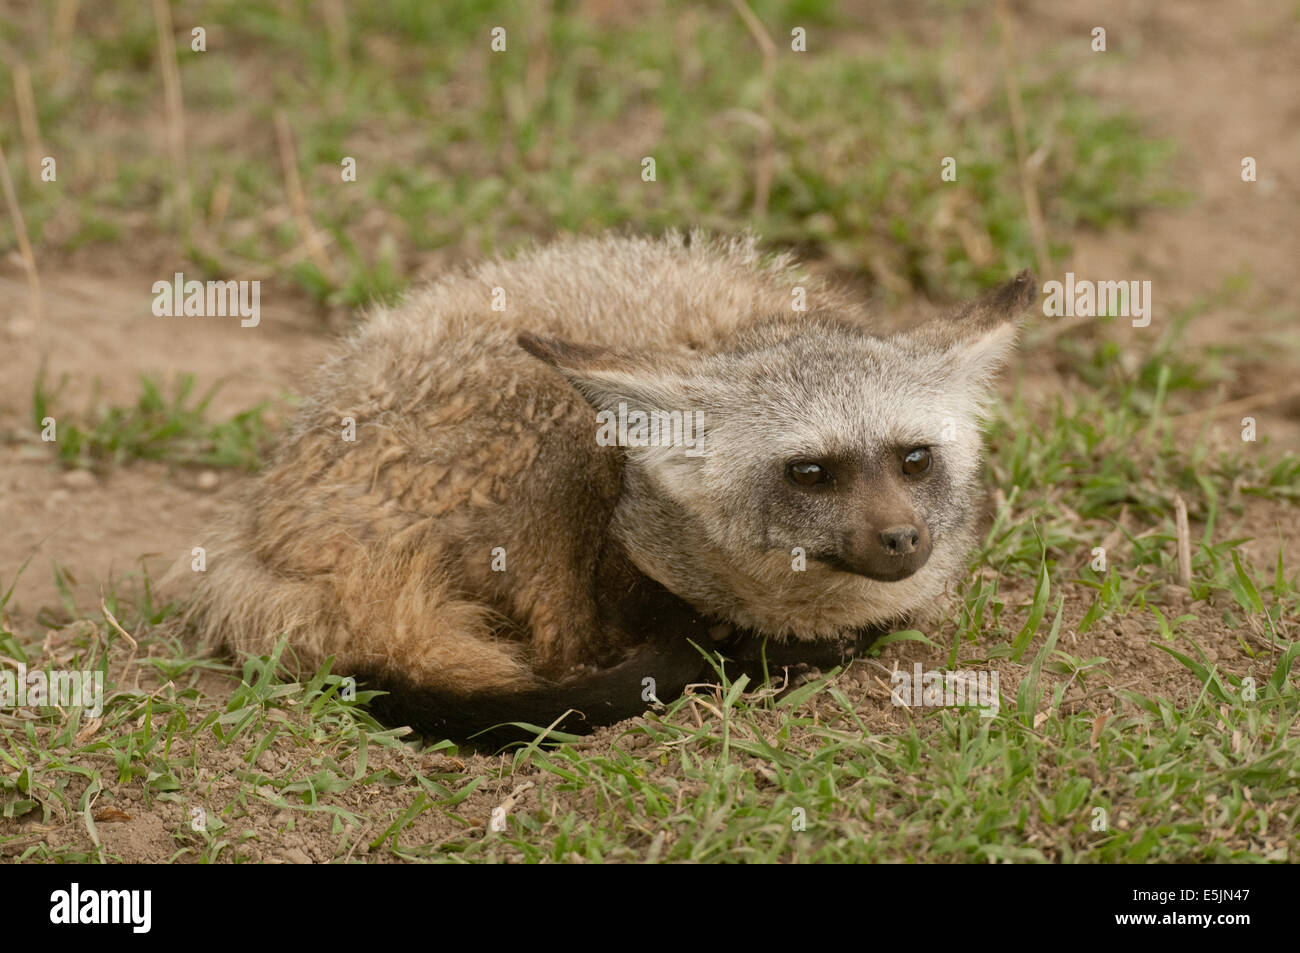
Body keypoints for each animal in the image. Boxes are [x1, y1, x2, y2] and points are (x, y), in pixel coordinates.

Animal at [187, 232, 1034, 741]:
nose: (902, 538)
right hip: (558, 426)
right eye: (810, 472)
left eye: (914, 460)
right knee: (557, 651)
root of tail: (257, 532)